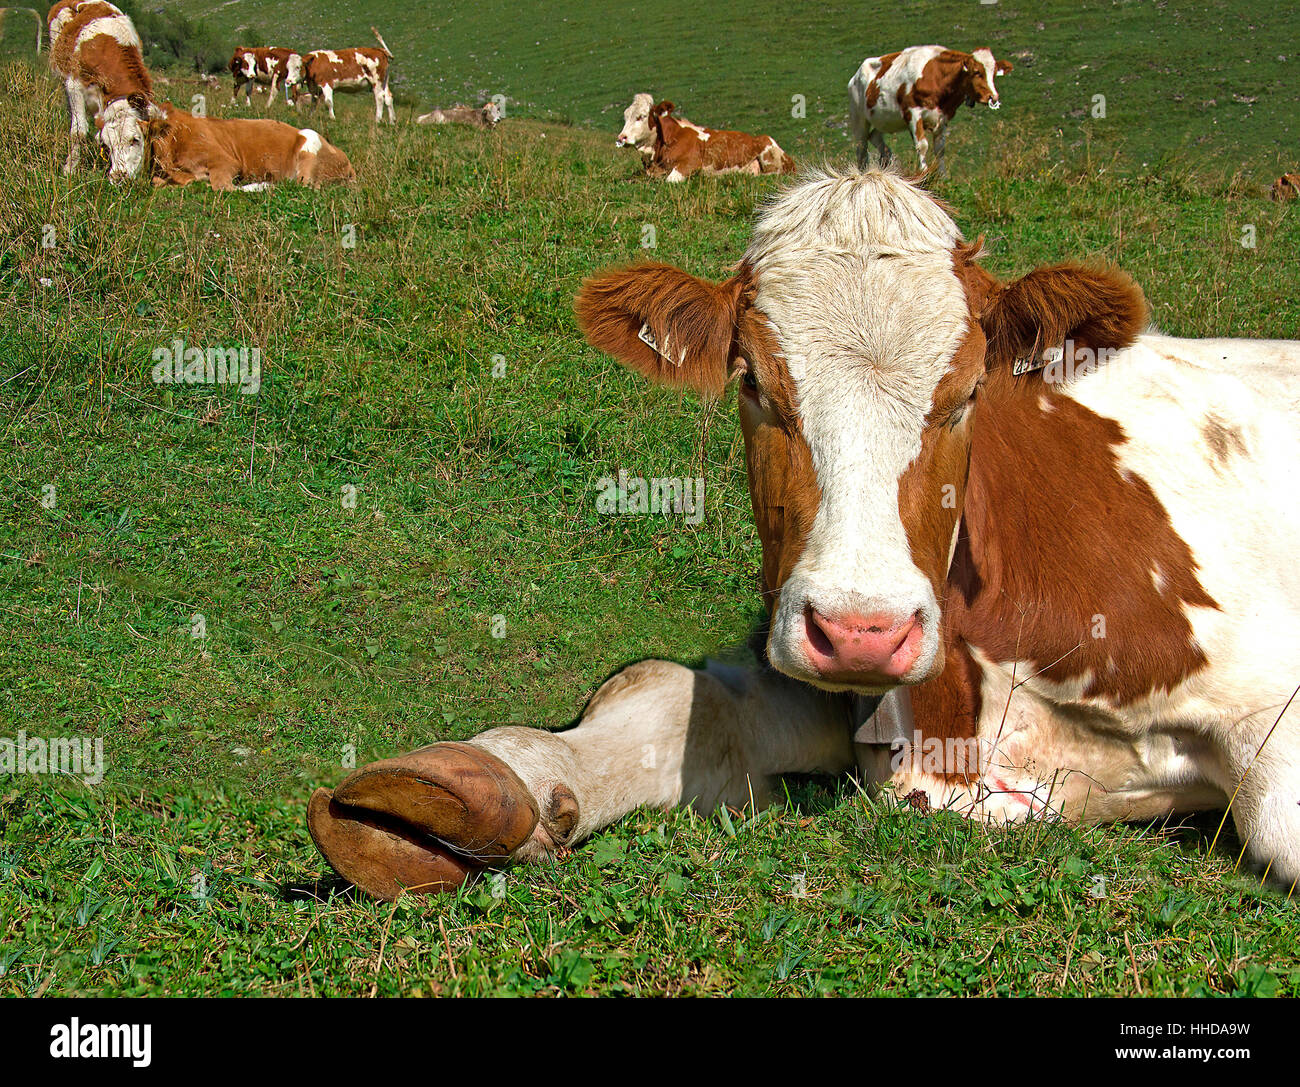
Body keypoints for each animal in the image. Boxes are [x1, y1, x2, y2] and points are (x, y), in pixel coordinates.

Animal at [48, 0, 157, 182]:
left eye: (135, 140)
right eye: (108, 144)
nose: (119, 177)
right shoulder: (74, 85)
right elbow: (78, 132)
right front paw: (70, 168)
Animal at [307, 166, 1300, 902]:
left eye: (969, 390)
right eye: (753, 382)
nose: (862, 631)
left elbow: (1274, 814)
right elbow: (670, 698)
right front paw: (474, 788)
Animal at [848, 45, 1012, 173]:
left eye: (994, 73)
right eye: (977, 72)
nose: (993, 97)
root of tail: (854, 77)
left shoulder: (943, 116)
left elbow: (940, 149)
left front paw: (942, 177)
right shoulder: (913, 113)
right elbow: (922, 146)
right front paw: (924, 174)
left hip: (886, 119)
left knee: (874, 136)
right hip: (859, 118)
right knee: (861, 148)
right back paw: (862, 173)